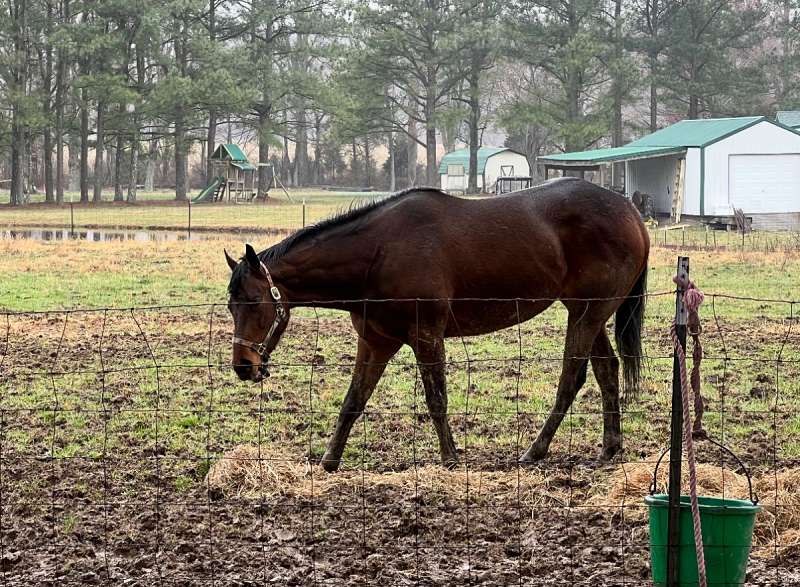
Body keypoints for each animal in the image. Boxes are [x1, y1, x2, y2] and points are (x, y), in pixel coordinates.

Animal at [224, 178, 650, 471]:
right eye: (231, 306)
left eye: (254, 301)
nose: (244, 366)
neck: (379, 253)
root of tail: (630, 211)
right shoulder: (376, 342)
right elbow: (353, 401)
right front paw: (330, 459)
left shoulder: (427, 337)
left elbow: (436, 399)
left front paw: (450, 458)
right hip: (587, 313)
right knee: (606, 370)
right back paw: (610, 447)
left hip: (587, 314)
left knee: (571, 378)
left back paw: (536, 450)